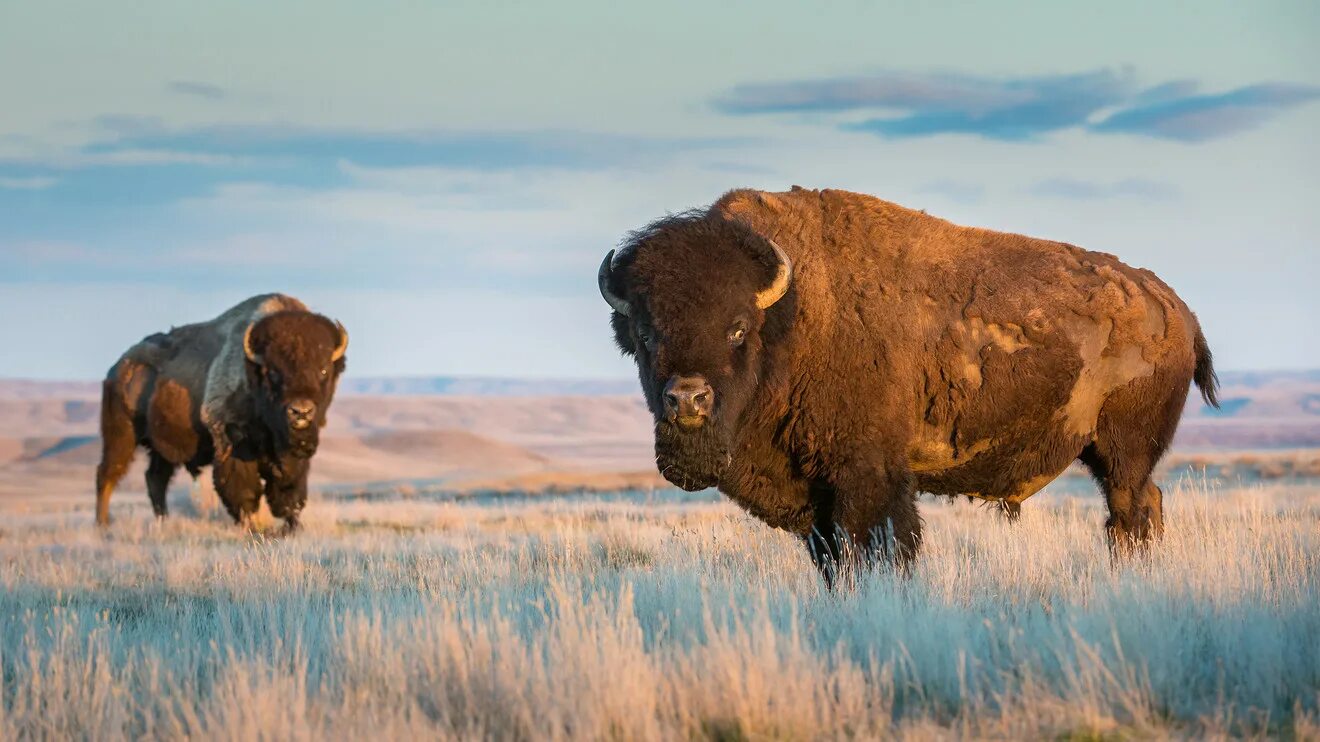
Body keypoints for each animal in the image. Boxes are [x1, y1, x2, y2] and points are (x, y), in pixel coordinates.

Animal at [96, 291, 348, 528]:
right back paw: (103, 525)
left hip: (161, 448)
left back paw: (163, 522)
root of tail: (118, 368)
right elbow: (244, 490)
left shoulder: (292, 459)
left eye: (324, 370)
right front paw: (255, 529)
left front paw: (292, 527)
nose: (301, 412)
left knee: (155, 479)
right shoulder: (231, 439)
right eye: (273, 372)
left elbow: (290, 494)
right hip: (121, 436)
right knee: (107, 475)